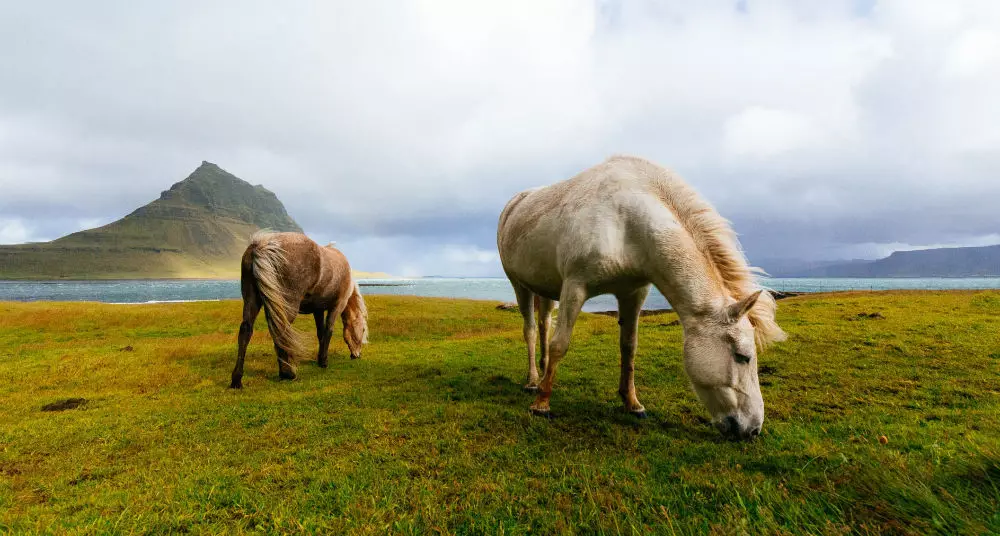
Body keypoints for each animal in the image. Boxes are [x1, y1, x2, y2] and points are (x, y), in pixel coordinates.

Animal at [229, 232, 368, 388]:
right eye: (363, 330)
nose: (357, 355)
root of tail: (263, 245)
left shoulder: (318, 310)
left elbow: (321, 333)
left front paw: (319, 359)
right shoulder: (337, 306)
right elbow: (328, 331)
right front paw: (324, 361)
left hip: (252, 300)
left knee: (246, 330)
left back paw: (237, 380)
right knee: (280, 332)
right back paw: (287, 373)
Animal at [496, 154, 784, 440]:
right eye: (742, 356)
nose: (753, 429)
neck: (626, 221)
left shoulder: (633, 293)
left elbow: (629, 347)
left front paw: (632, 403)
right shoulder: (575, 287)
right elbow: (560, 344)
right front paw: (542, 405)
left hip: (546, 290)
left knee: (544, 324)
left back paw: (543, 372)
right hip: (520, 285)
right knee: (531, 330)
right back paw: (534, 382)